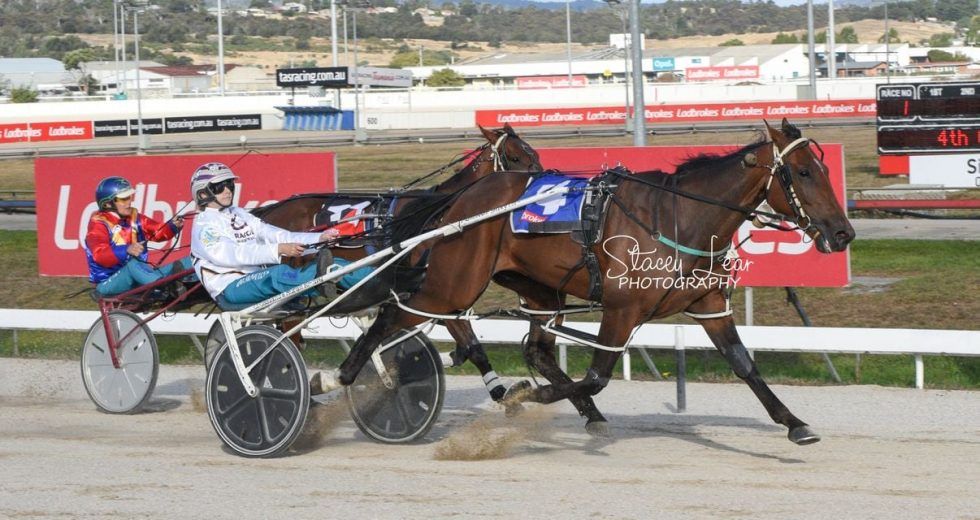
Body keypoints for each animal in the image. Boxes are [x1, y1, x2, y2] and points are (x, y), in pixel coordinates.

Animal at [253, 123, 544, 402]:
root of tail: (270, 211)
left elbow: (462, 346)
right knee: (289, 333)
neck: (440, 217)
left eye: (535, 154)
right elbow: (471, 345)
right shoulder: (436, 293)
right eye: (515, 157)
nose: (542, 182)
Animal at [334, 118, 856, 444]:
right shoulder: (622, 310)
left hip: (537, 288)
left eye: (824, 169)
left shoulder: (709, 305)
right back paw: (353, 376)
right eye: (803, 172)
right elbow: (598, 375)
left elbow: (746, 365)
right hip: (455, 283)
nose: (842, 233)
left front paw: (794, 424)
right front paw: (527, 396)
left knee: (535, 349)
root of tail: (461, 200)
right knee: (396, 313)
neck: (678, 217)